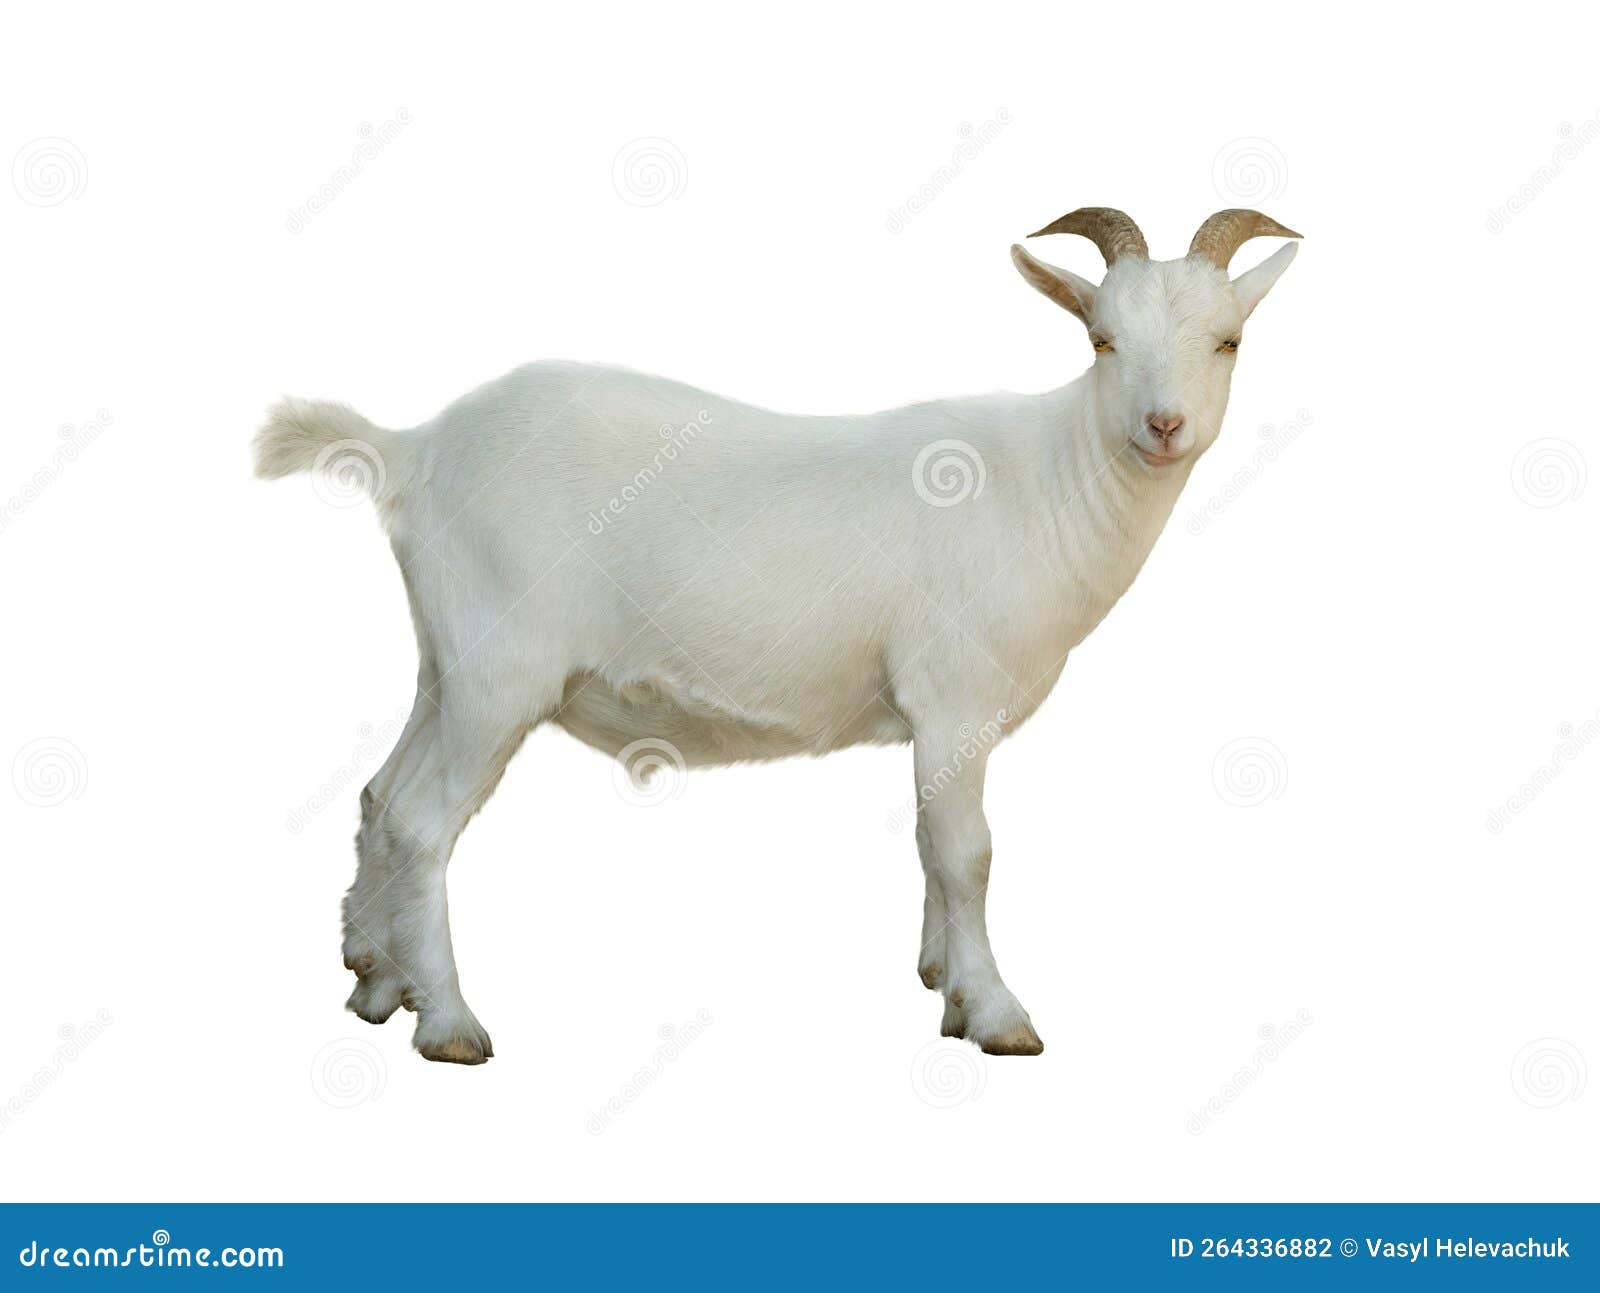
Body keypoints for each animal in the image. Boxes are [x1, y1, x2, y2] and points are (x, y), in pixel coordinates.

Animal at [256, 207, 1300, 1063]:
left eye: (1228, 340)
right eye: (1102, 339)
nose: (1162, 426)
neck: (1047, 482)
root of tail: (414, 450)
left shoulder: (930, 720)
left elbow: (929, 843)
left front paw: (944, 986)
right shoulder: (954, 694)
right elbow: (969, 852)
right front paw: (999, 1013)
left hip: (449, 662)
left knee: (380, 796)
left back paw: (375, 977)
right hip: (500, 669)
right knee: (424, 822)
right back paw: (448, 1022)